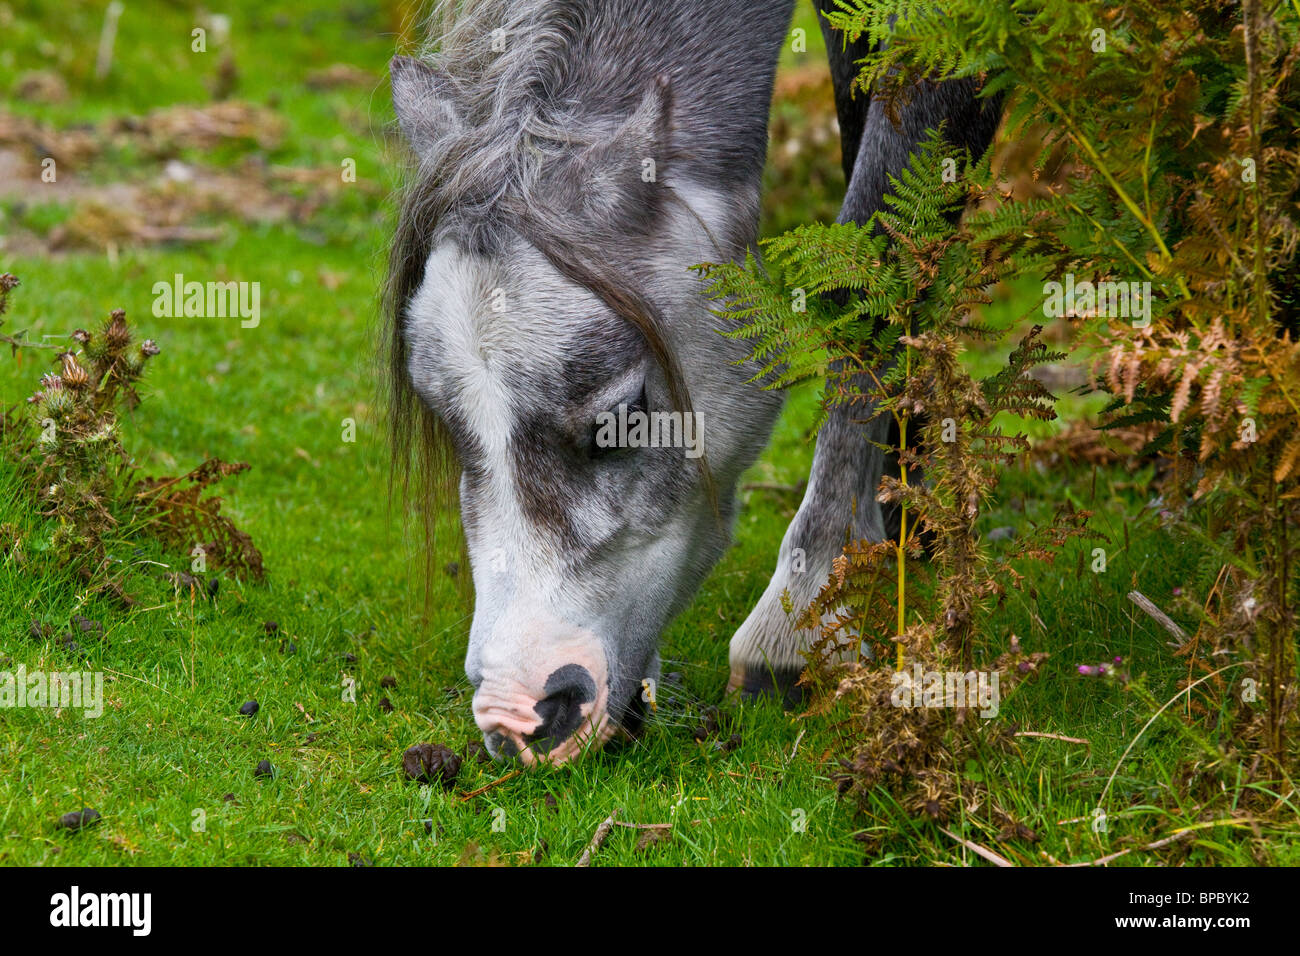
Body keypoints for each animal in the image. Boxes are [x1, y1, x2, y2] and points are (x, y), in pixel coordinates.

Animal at [384, 0, 1001, 764]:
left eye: (618, 416)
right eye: (447, 423)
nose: (518, 715)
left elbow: (867, 271)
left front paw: (803, 622)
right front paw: (891, 518)